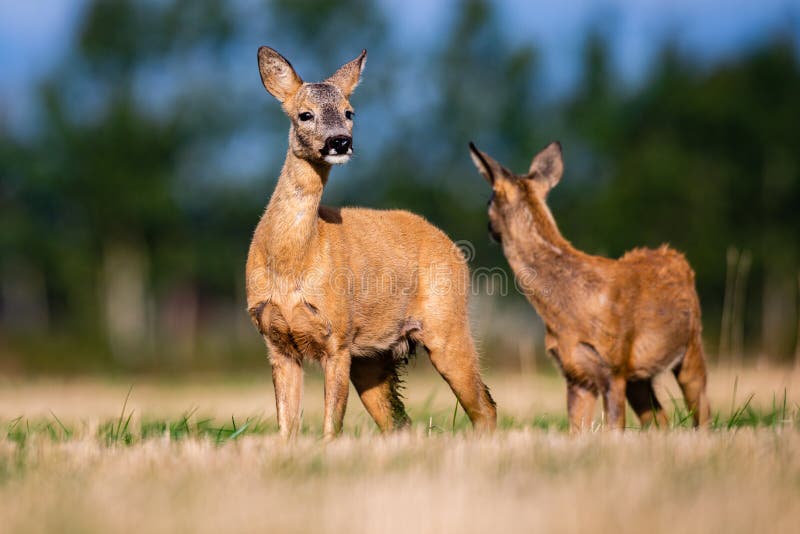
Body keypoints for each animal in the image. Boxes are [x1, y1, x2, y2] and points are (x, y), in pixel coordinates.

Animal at [245, 47, 497, 441]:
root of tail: (452, 247)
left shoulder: (338, 335)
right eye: (305, 114)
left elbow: (332, 424)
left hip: (447, 324)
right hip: (374, 356)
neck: (291, 262)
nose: (340, 141)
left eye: (350, 112)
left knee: (484, 406)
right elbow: (286, 428)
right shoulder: (276, 341)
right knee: (398, 422)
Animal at [468, 141, 710, 433]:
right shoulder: (575, 374)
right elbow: (577, 430)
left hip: (691, 344)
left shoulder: (612, 365)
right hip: (638, 377)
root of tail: (676, 255)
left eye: (488, 200)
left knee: (701, 409)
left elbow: (614, 427)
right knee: (658, 419)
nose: (489, 228)